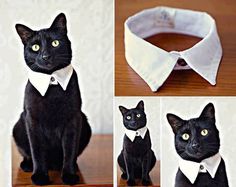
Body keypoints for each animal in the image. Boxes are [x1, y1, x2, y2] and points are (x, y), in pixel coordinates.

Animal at [12, 13, 91, 186]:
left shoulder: (73, 119)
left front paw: (69, 175)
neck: (52, 80)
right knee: (27, 153)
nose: (45, 55)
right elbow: (37, 152)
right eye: (35, 47)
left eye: (55, 43)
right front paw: (40, 176)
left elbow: (69, 150)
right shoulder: (32, 121)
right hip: (18, 126)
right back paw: (27, 165)